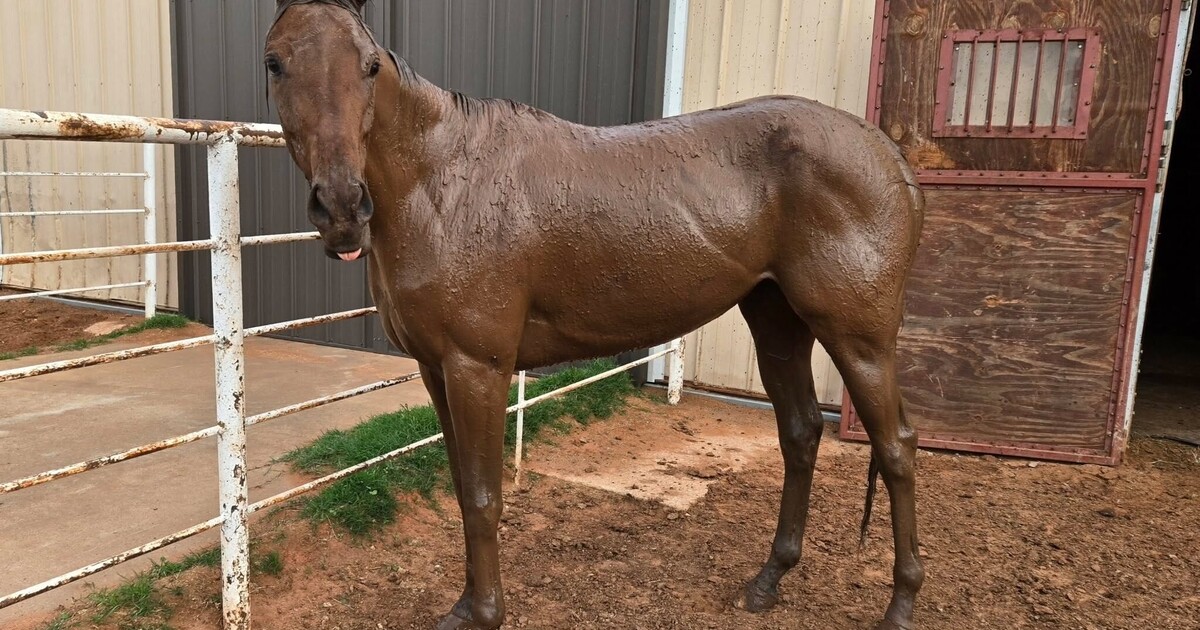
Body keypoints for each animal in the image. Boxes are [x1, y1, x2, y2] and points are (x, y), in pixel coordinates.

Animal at [265, 1, 925, 628]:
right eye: (275, 62)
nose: (342, 207)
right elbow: (459, 486)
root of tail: (888, 155)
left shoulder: (477, 367)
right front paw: (462, 606)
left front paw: (486, 613)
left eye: (371, 65)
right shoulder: (435, 369)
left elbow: (482, 496)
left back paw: (901, 604)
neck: (443, 183)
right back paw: (768, 581)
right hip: (778, 324)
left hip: (859, 340)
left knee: (896, 447)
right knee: (801, 433)